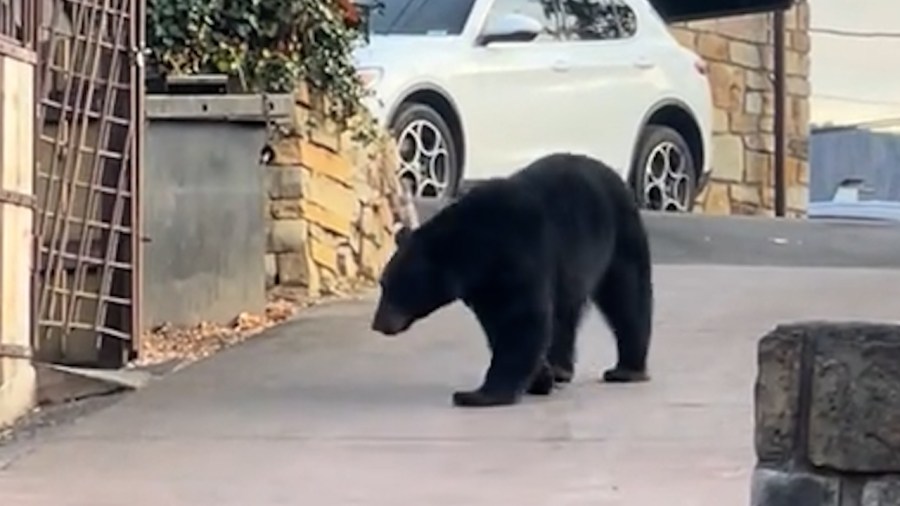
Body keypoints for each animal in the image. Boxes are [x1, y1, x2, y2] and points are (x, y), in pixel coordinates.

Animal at [370, 152, 654, 408]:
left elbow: (521, 318)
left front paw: (478, 395)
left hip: (620, 237)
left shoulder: (519, 254)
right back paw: (561, 369)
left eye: (395, 287)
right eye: (383, 284)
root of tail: (614, 175)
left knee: (628, 295)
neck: (476, 249)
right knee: (566, 312)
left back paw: (626, 369)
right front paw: (541, 378)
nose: (378, 324)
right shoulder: (483, 286)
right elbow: (500, 325)